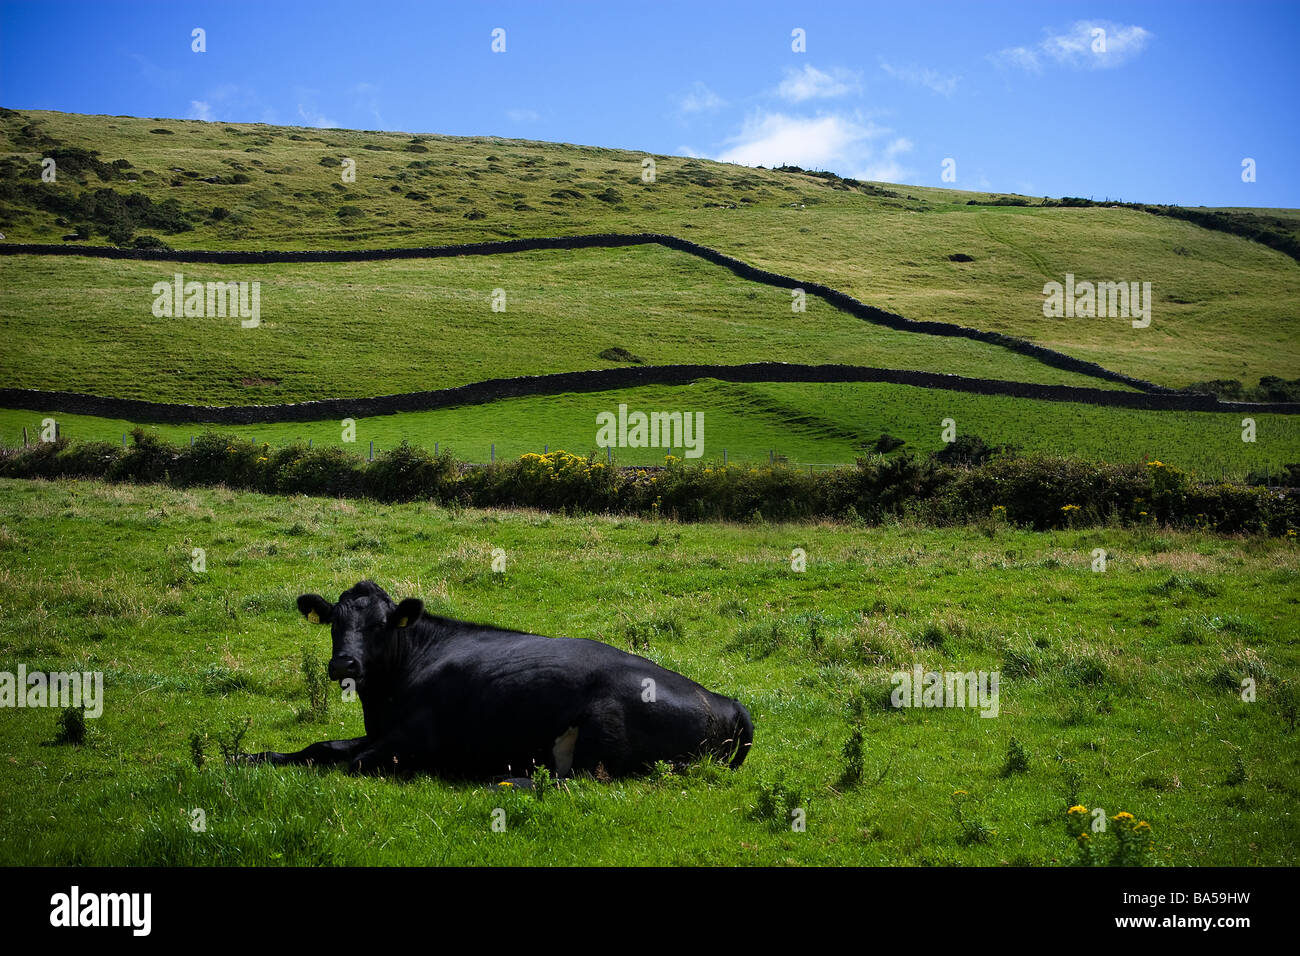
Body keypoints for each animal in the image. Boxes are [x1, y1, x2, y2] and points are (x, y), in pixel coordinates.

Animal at [242, 580, 754, 780]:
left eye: (380, 625)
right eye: (334, 622)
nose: (344, 665)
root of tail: (724, 699)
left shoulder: (413, 739)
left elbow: (349, 762)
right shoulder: (381, 732)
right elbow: (321, 747)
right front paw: (247, 756)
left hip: (600, 737)